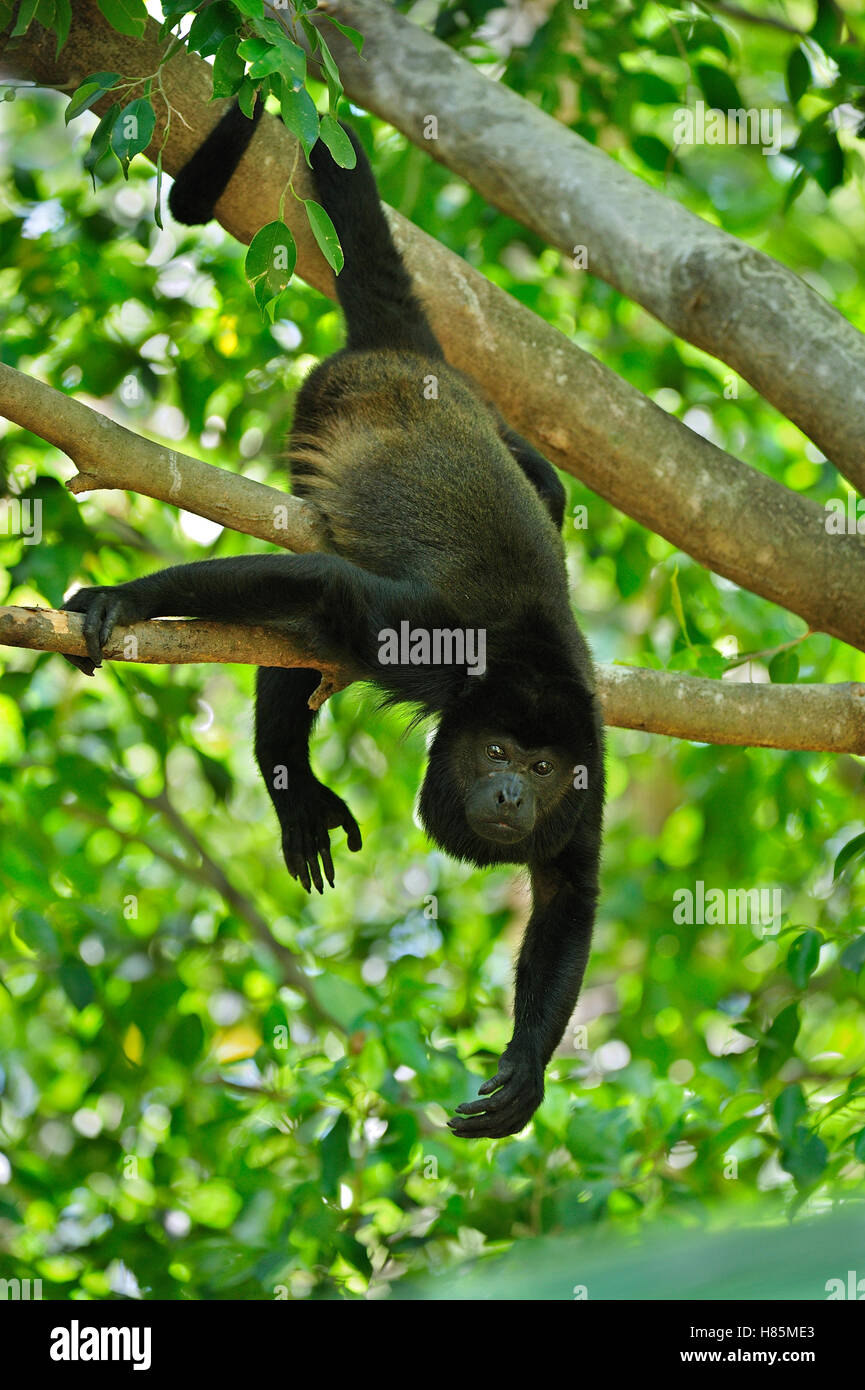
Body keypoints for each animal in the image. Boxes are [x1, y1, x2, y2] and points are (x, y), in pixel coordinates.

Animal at [62, 107, 604, 1139]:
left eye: (543, 769)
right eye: (499, 755)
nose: (510, 797)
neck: (523, 669)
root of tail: (413, 360)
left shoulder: (590, 746)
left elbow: (568, 882)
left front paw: (526, 1069)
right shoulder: (437, 647)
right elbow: (323, 594)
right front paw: (120, 602)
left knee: (545, 493)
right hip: (323, 404)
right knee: (305, 591)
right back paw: (290, 775)